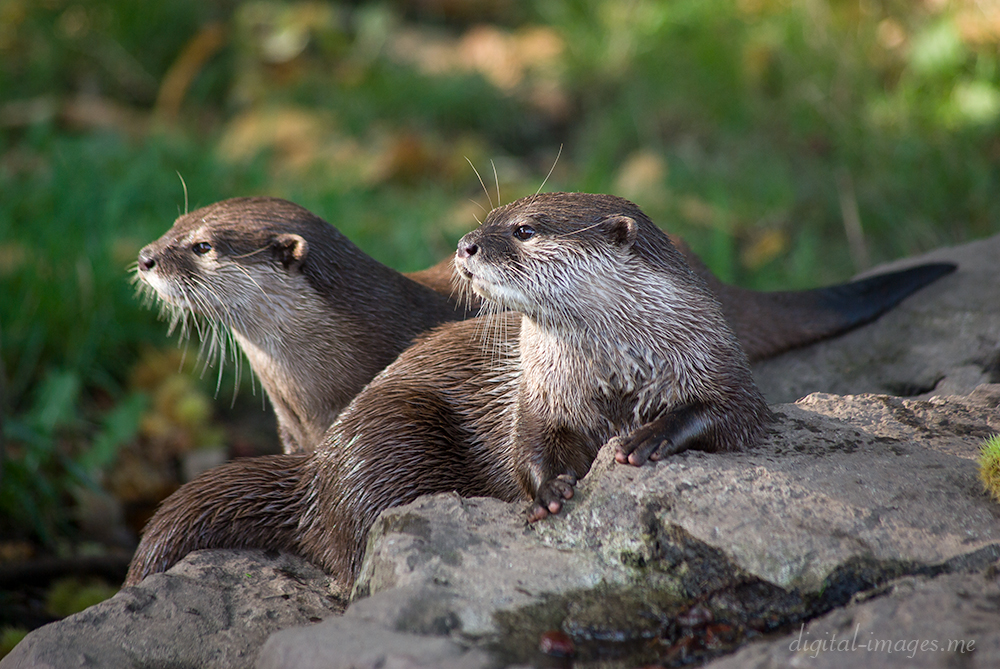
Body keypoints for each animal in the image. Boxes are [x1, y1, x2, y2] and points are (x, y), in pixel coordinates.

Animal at [125, 192, 770, 587]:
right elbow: (527, 444)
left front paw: (649, 436)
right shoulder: (538, 390)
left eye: (523, 231)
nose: (146, 255)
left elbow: (735, 413)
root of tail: (321, 467)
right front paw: (548, 491)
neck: (614, 374)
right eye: (174, 227)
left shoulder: (716, 355)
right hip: (391, 434)